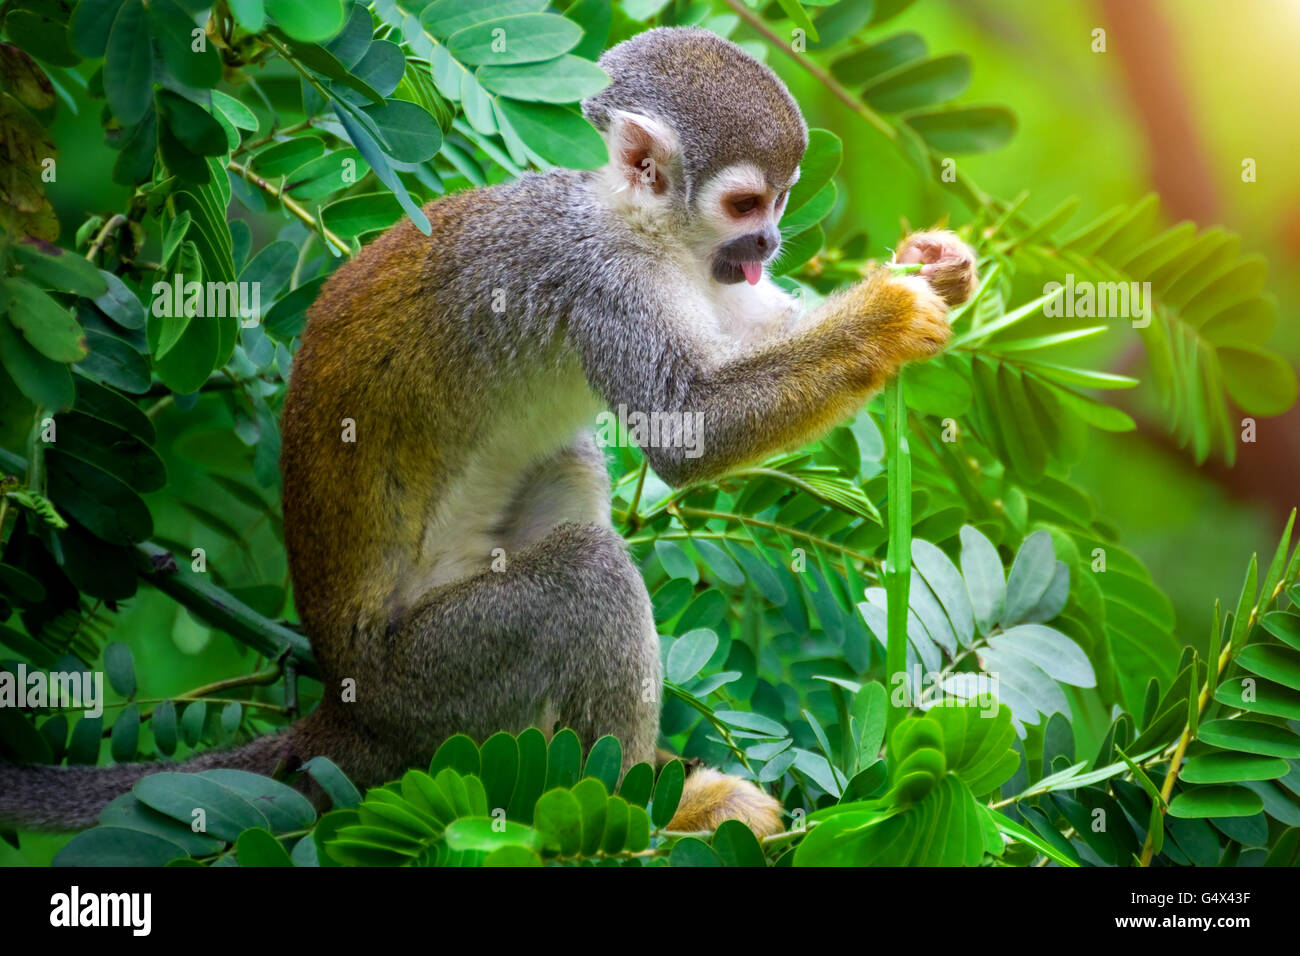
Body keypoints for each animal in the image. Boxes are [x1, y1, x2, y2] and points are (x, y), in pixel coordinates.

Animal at [0, 27, 976, 840]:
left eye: (780, 202)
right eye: (745, 205)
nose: (768, 245)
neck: (624, 216)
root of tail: (347, 707)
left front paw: (938, 268)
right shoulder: (601, 279)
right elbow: (690, 430)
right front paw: (890, 317)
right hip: (438, 682)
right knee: (584, 576)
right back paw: (639, 804)